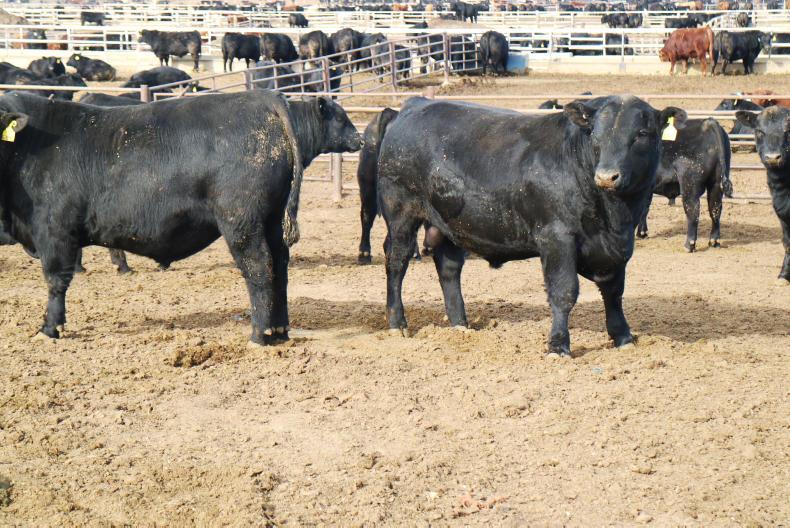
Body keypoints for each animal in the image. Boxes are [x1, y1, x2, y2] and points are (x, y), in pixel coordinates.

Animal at [0, 91, 361, 343]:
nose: (358, 138)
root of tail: (265, 99)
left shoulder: (54, 229)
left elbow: (55, 280)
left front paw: (50, 328)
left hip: (241, 221)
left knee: (259, 267)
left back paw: (261, 334)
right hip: (270, 220)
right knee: (280, 266)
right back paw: (280, 329)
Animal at [376, 96, 686, 356]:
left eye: (642, 134)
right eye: (595, 134)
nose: (607, 176)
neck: (614, 215)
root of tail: (412, 105)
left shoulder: (619, 246)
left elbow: (614, 292)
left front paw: (622, 337)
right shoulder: (556, 238)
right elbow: (564, 292)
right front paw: (558, 346)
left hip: (450, 224)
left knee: (449, 268)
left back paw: (460, 325)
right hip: (400, 212)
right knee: (397, 261)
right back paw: (398, 323)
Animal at [637, 119, 733, 252]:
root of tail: (708, 122)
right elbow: (644, 208)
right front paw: (642, 233)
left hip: (689, 185)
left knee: (693, 211)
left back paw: (689, 245)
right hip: (716, 184)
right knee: (715, 210)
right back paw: (714, 241)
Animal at [735, 107, 790, 284]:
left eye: (787, 130)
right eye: (759, 131)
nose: (773, 157)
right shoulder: (781, 211)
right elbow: (787, 242)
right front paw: (784, 275)